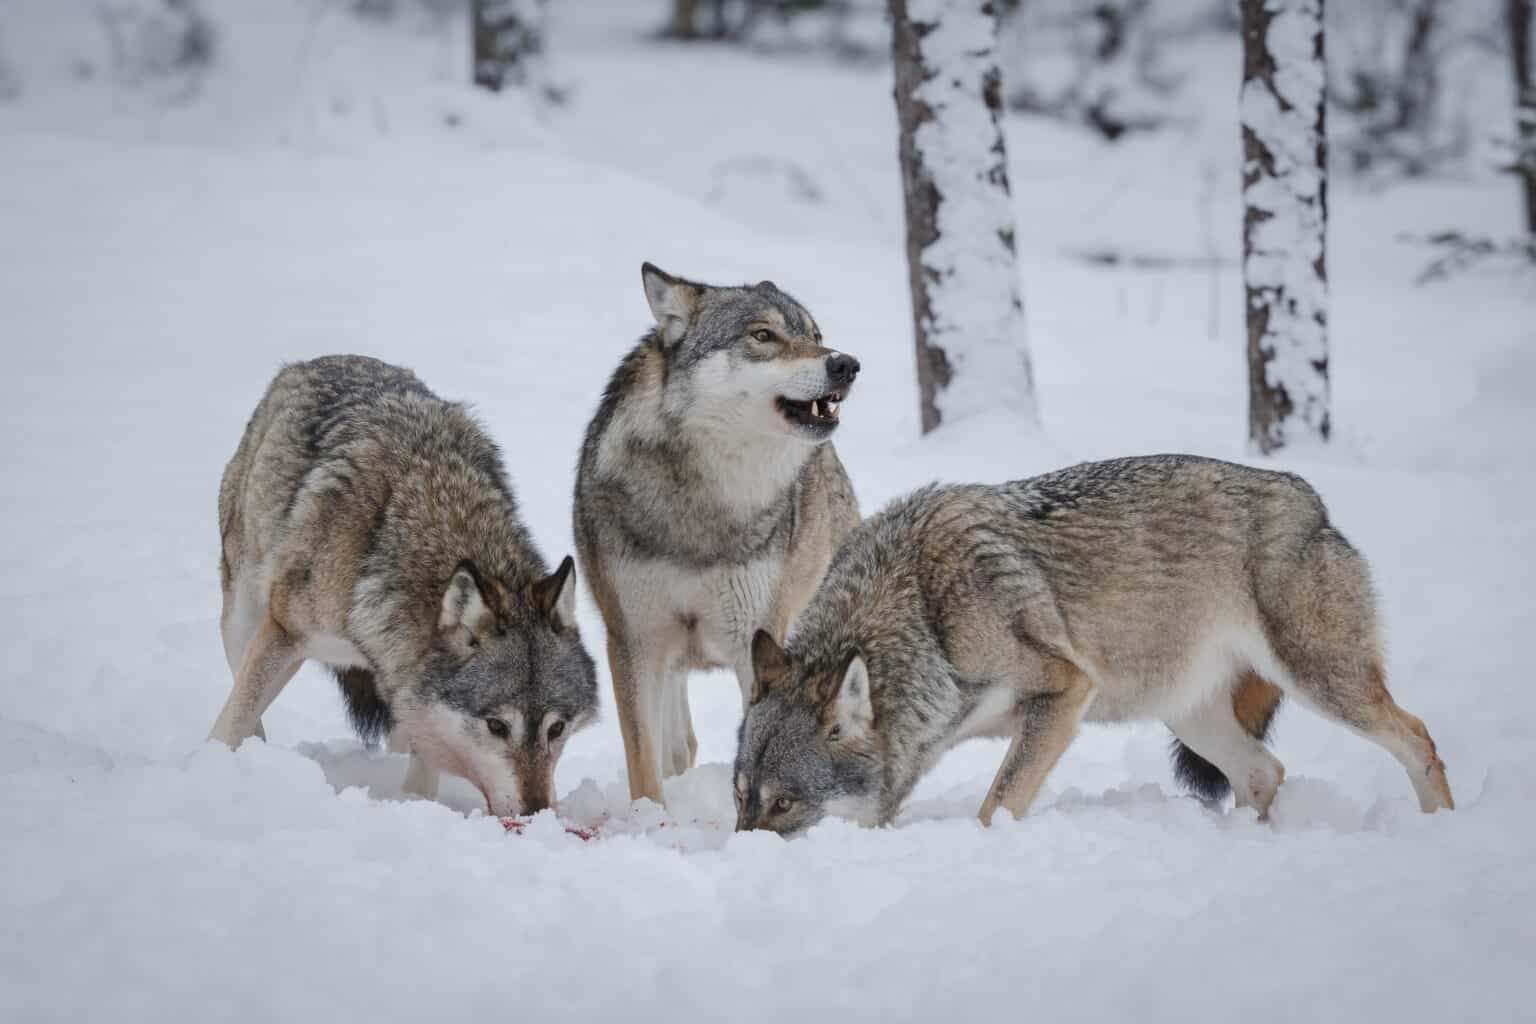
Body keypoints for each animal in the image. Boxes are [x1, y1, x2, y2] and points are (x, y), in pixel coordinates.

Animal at [211, 355, 598, 816]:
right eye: (497, 726)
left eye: (556, 728)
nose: (537, 814)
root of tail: (321, 361)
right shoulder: (285, 632)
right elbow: (232, 720)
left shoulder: (413, 687)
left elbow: (423, 768)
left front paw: (415, 804)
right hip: (243, 618)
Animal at [574, 263, 862, 806]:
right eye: (763, 336)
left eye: (815, 335)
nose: (847, 364)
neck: (706, 500)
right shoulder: (634, 641)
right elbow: (643, 760)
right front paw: (651, 820)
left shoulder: (754, 640)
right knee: (678, 743)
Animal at [734, 455, 1454, 835]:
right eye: (740, 797)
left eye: (785, 804)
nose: (743, 855)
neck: (922, 613)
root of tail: (1306, 494)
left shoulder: (1063, 691)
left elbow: (996, 808)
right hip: (1186, 715)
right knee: (1263, 772)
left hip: (1322, 683)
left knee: (1417, 736)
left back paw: (1441, 828)